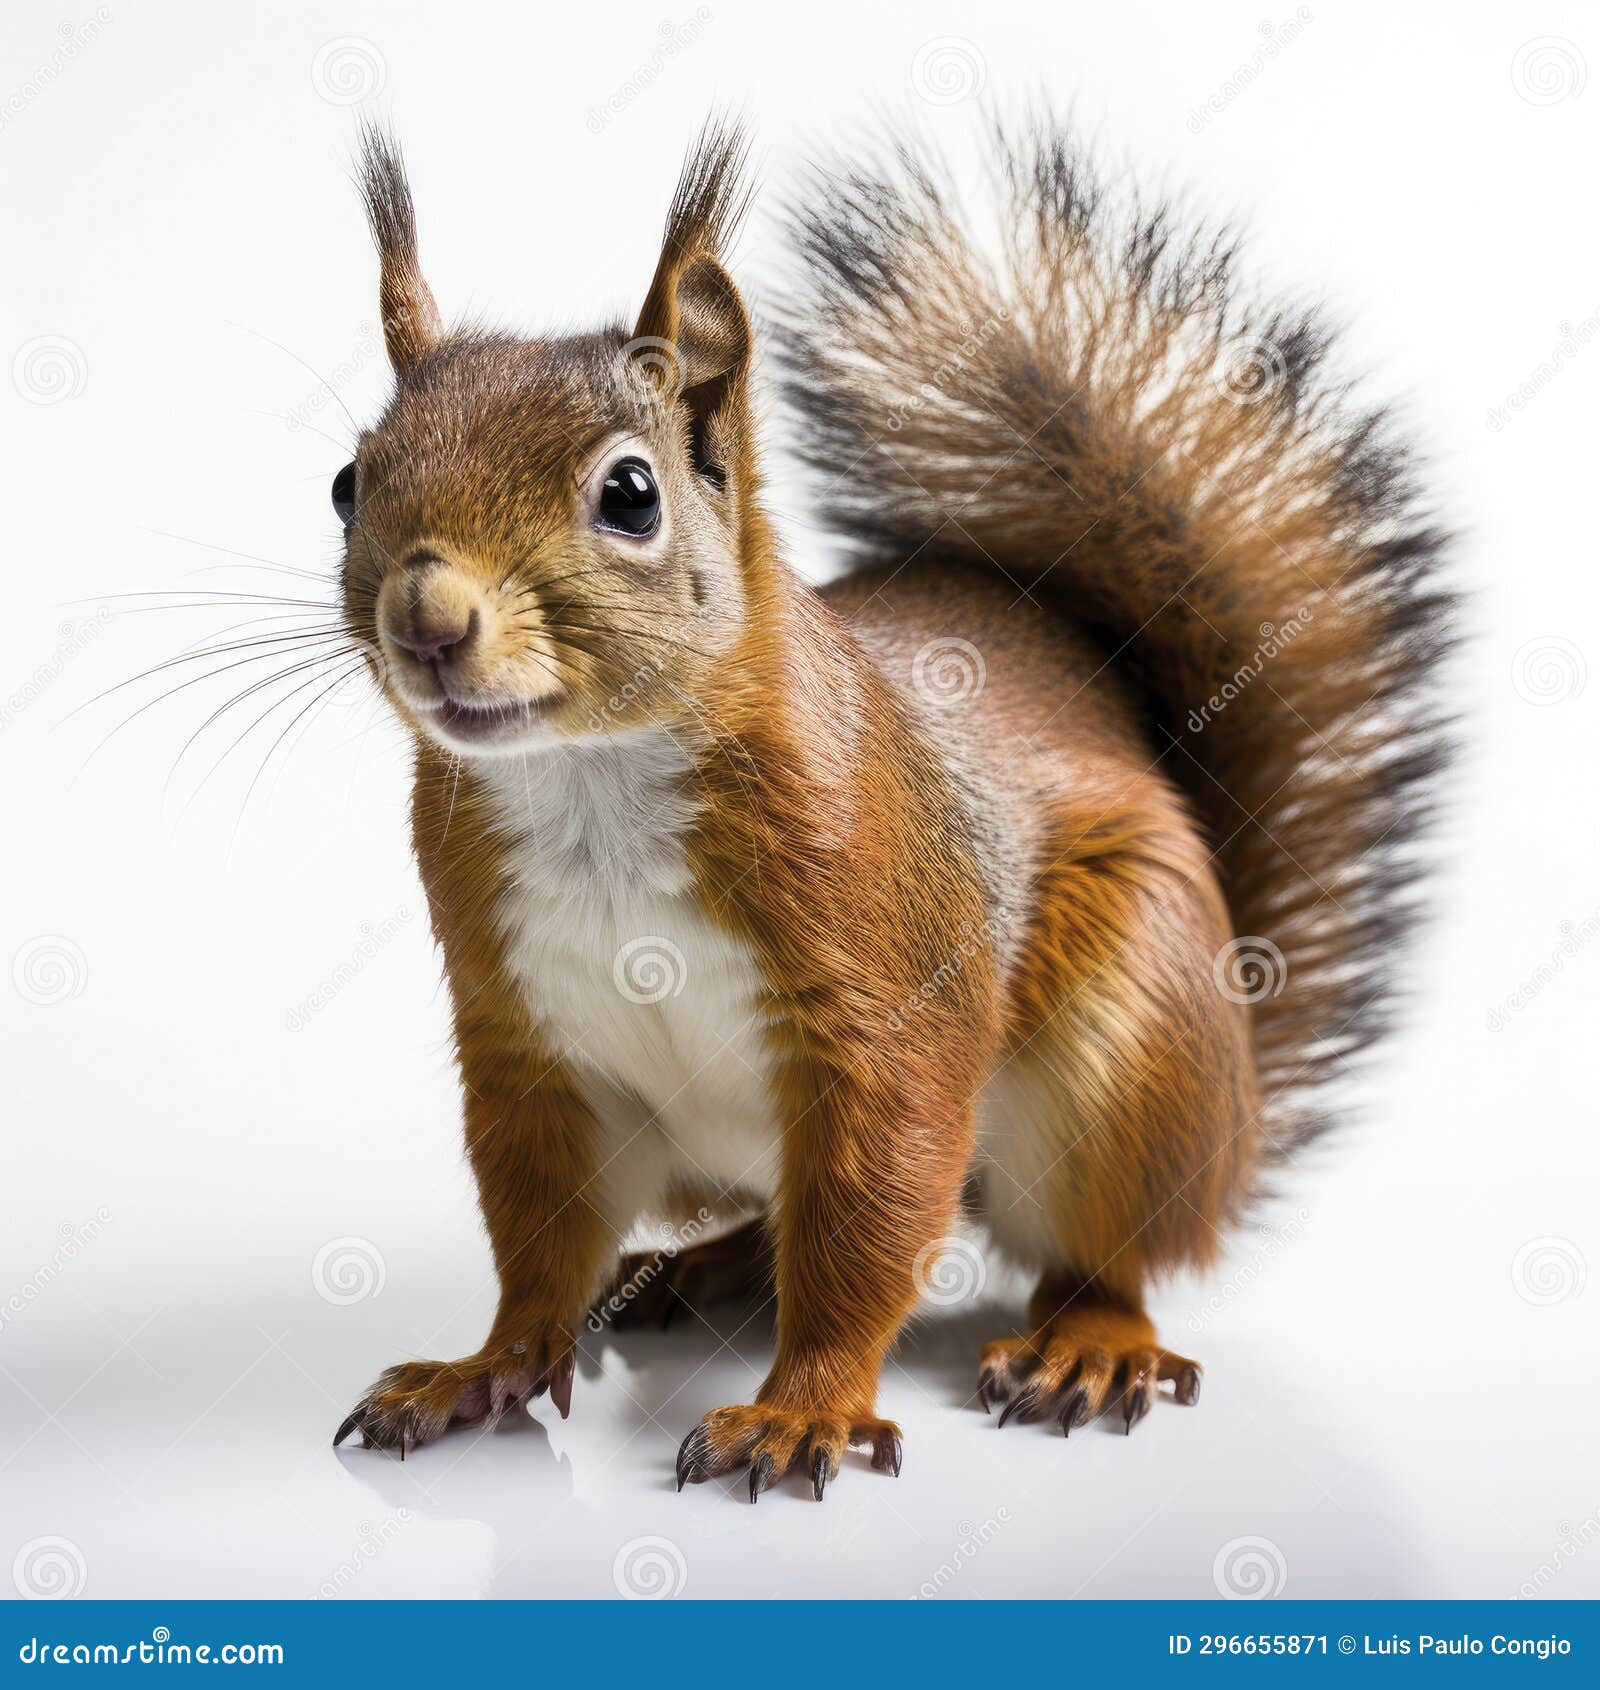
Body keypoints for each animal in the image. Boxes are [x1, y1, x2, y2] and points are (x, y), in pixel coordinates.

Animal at [330, 118, 1452, 1500]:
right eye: (347, 482)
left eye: (631, 494)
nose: (428, 620)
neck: (591, 778)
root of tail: (1230, 1130)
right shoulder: (527, 1041)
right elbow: (540, 1241)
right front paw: (477, 1367)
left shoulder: (889, 1003)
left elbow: (867, 1228)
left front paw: (800, 1409)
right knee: (769, 1221)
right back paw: (707, 1265)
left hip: (1129, 1053)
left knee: (1106, 1254)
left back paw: (1091, 1344)